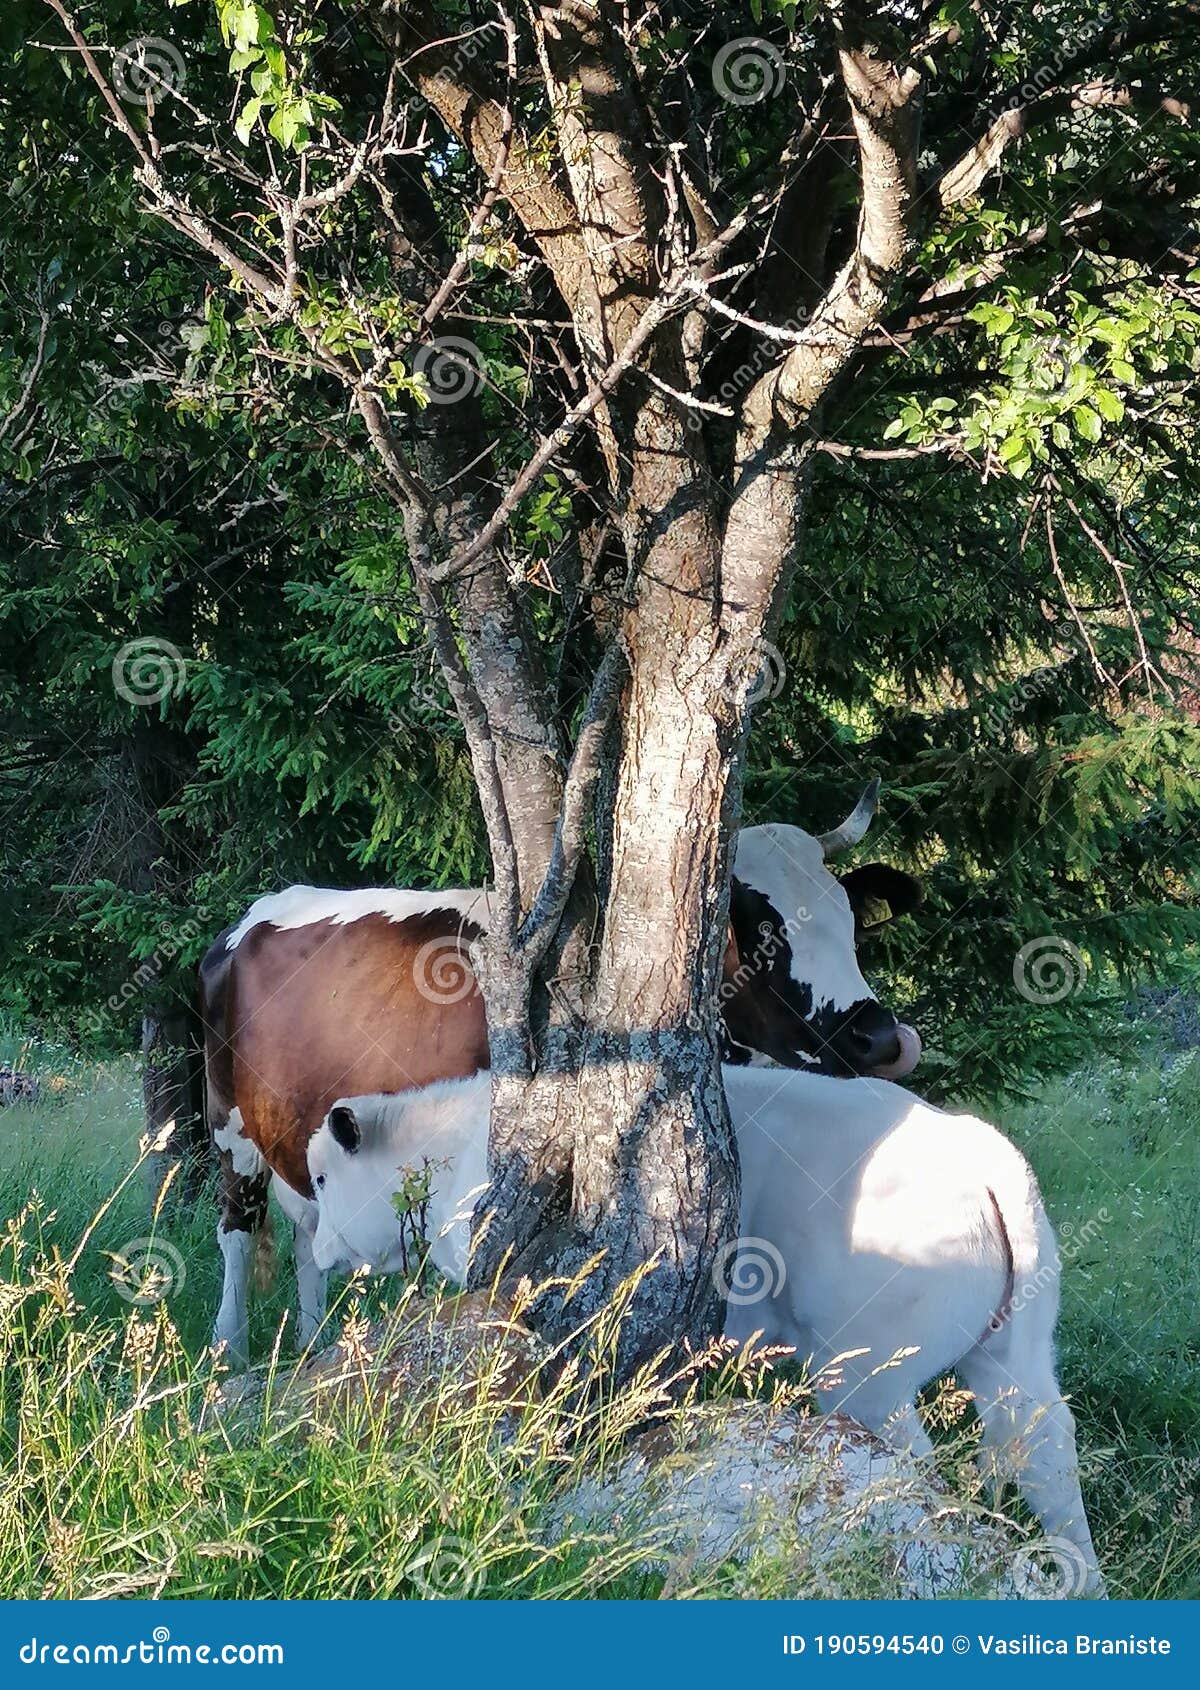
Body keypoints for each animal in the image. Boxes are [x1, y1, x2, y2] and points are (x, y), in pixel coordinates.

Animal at [201, 782, 922, 1365]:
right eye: (767, 930)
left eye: (849, 920)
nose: (884, 1040)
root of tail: (258, 913)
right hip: (226, 1124)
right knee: (235, 1230)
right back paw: (227, 1352)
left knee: (307, 1231)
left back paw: (310, 1341)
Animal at [306, 1067, 1102, 1596]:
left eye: (319, 1178)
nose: (316, 1251)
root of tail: (983, 1156)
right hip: (1014, 1355)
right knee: (1047, 1451)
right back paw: (1081, 1576)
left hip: (866, 1373)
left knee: (913, 1463)